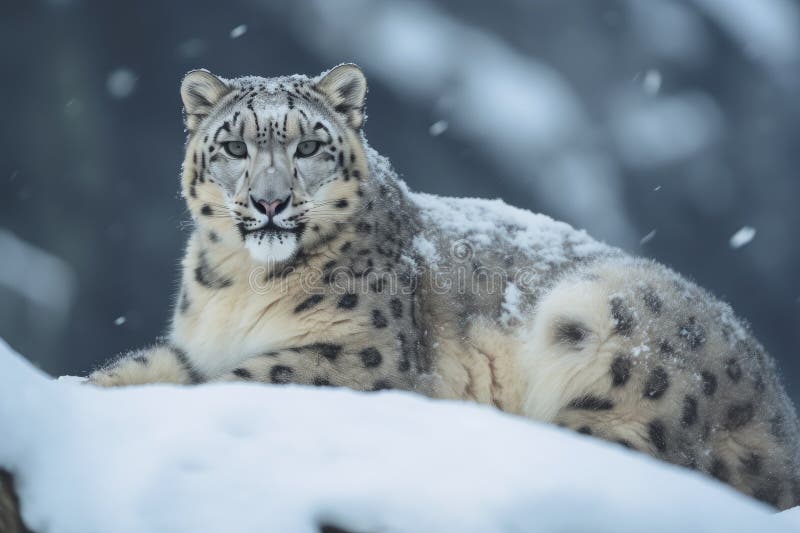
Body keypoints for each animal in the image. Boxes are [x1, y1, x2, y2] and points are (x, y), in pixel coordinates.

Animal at [85, 64, 800, 510]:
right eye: (234, 147)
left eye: (308, 146)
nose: (269, 201)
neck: (237, 289)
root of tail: (778, 409)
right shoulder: (191, 346)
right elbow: (140, 368)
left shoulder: (357, 356)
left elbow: (236, 384)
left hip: (610, 332)